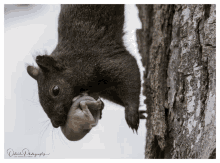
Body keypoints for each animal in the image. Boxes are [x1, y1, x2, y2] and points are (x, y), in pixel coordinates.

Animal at [27, 4, 143, 132]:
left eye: (55, 90)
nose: (56, 123)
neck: (75, 61)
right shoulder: (102, 87)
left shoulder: (105, 57)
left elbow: (129, 71)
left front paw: (131, 113)